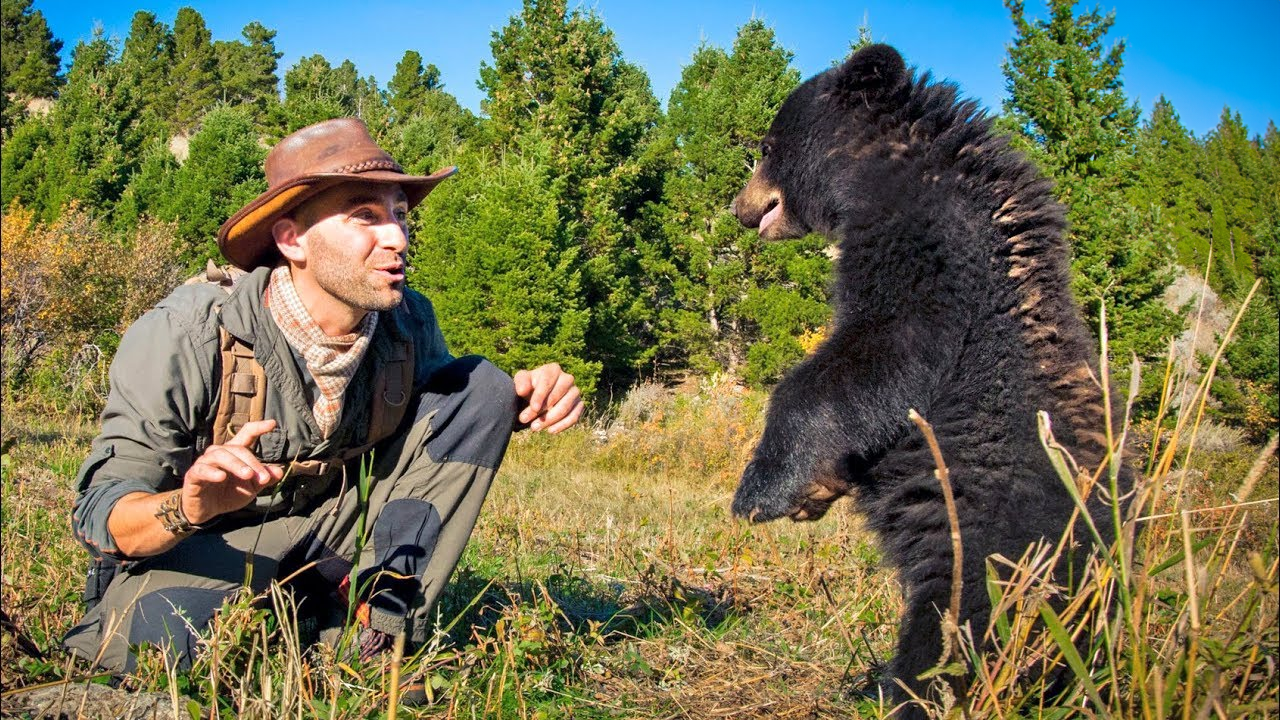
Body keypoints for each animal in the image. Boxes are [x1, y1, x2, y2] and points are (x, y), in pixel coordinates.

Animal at [730, 44, 1132, 715]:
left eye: (767, 143)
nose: (739, 207)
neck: (878, 174)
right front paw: (819, 485)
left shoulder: (929, 243)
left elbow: (885, 348)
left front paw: (765, 490)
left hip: (994, 558)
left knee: (953, 638)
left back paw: (914, 692)